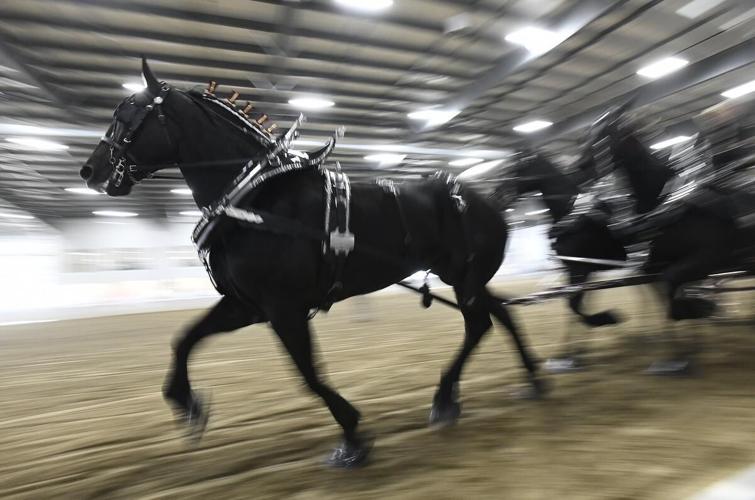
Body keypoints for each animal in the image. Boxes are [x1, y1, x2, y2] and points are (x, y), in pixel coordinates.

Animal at [79, 60, 547, 467]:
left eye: (127, 115)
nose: (91, 171)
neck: (256, 201)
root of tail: (490, 199)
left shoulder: (283, 308)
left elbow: (307, 373)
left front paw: (352, 437)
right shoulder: (246, 306)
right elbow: (185, 339)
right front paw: (188, 404)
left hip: (466, 278)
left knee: (480, 324)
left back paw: (447, 397)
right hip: (466, 279)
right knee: (500, 313)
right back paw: (529, 378)